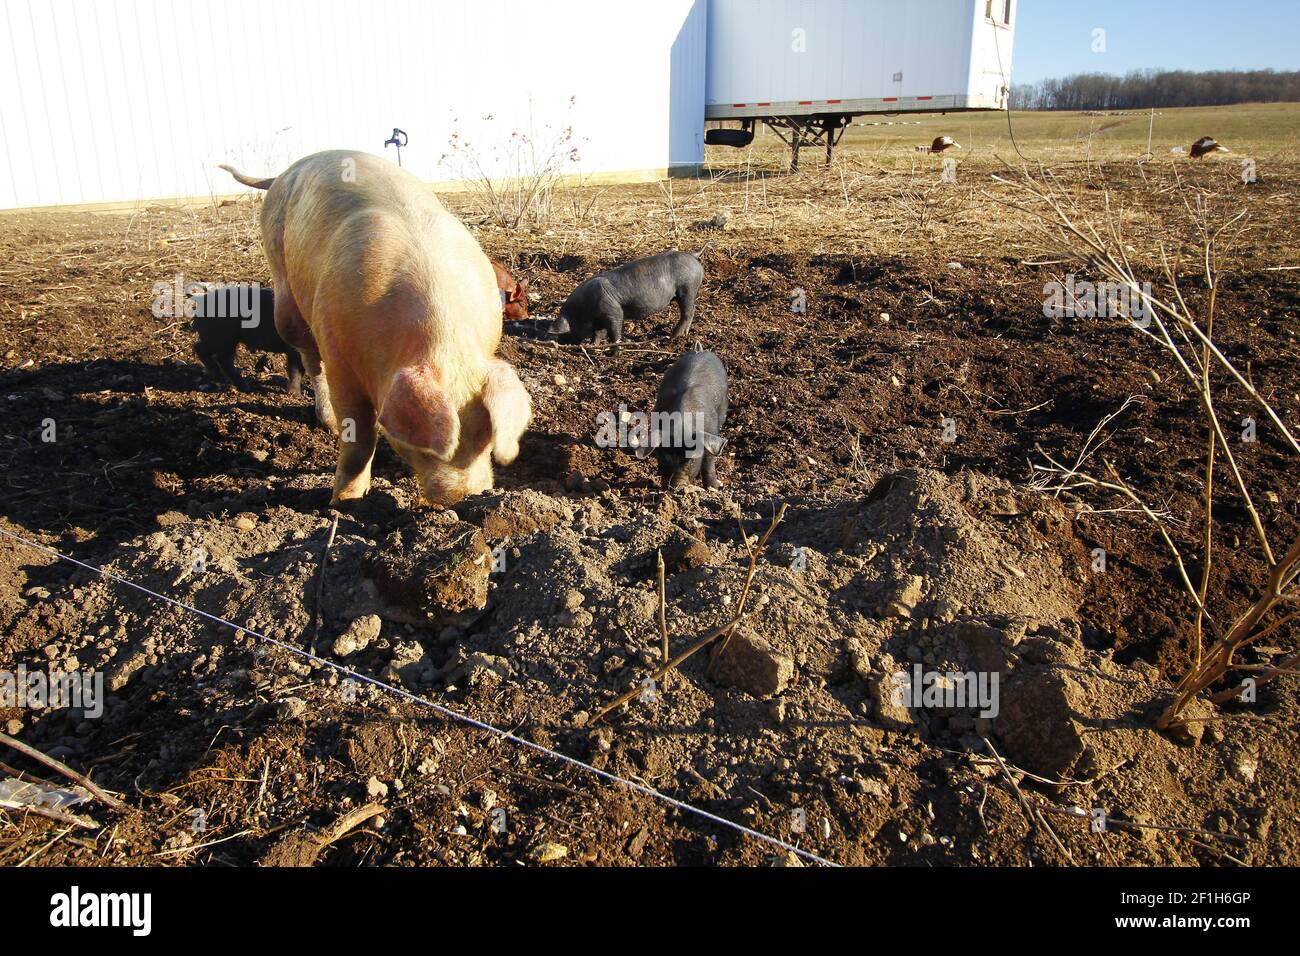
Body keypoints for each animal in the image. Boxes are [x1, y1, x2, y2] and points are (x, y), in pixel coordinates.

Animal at [220, 152, 532, 506]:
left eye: (486, 438)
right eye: (426, 448)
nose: (464, 497)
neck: (446, 344)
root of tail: (284, 172)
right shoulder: (341, 361)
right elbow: (359, 441)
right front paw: (343, 503)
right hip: (287, 301)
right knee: (309, 356)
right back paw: (327, 423)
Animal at [547, 250, 704, 349]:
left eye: (566, 332)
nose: (561, 343)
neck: (583, 309)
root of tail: (692, 255)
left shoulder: (613, 311)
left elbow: (614, 329)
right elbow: (598, 333)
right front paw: (593, 345)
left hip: (687, 288)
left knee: (688, 311)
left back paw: (674, 336)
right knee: (692, 309)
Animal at [635, 350, 728, 489]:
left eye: (691, 458)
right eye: (666, 457)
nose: (676, 485)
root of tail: (701, 351)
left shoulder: (711, 432)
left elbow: (708, 463)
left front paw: (713, 488)